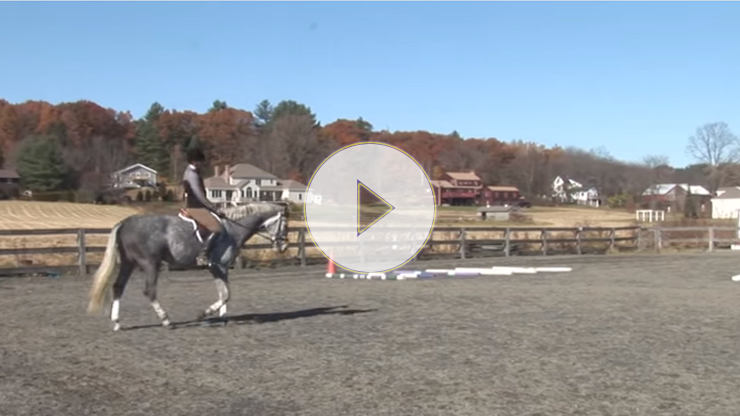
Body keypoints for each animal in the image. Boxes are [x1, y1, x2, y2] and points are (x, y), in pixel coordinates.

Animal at [86, 201, 290, 331]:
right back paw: (166, 321)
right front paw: (203, 314)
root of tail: (124, 223)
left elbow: (224, 294)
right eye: (285, 224)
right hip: (150, 263)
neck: (232, 229)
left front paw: (223, 318)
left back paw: (117, 322)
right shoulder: (217, 267)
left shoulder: (222, 268)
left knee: (118, 287)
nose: (283, 246)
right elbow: (225, 294)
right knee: (149, 291)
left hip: (128, 263)